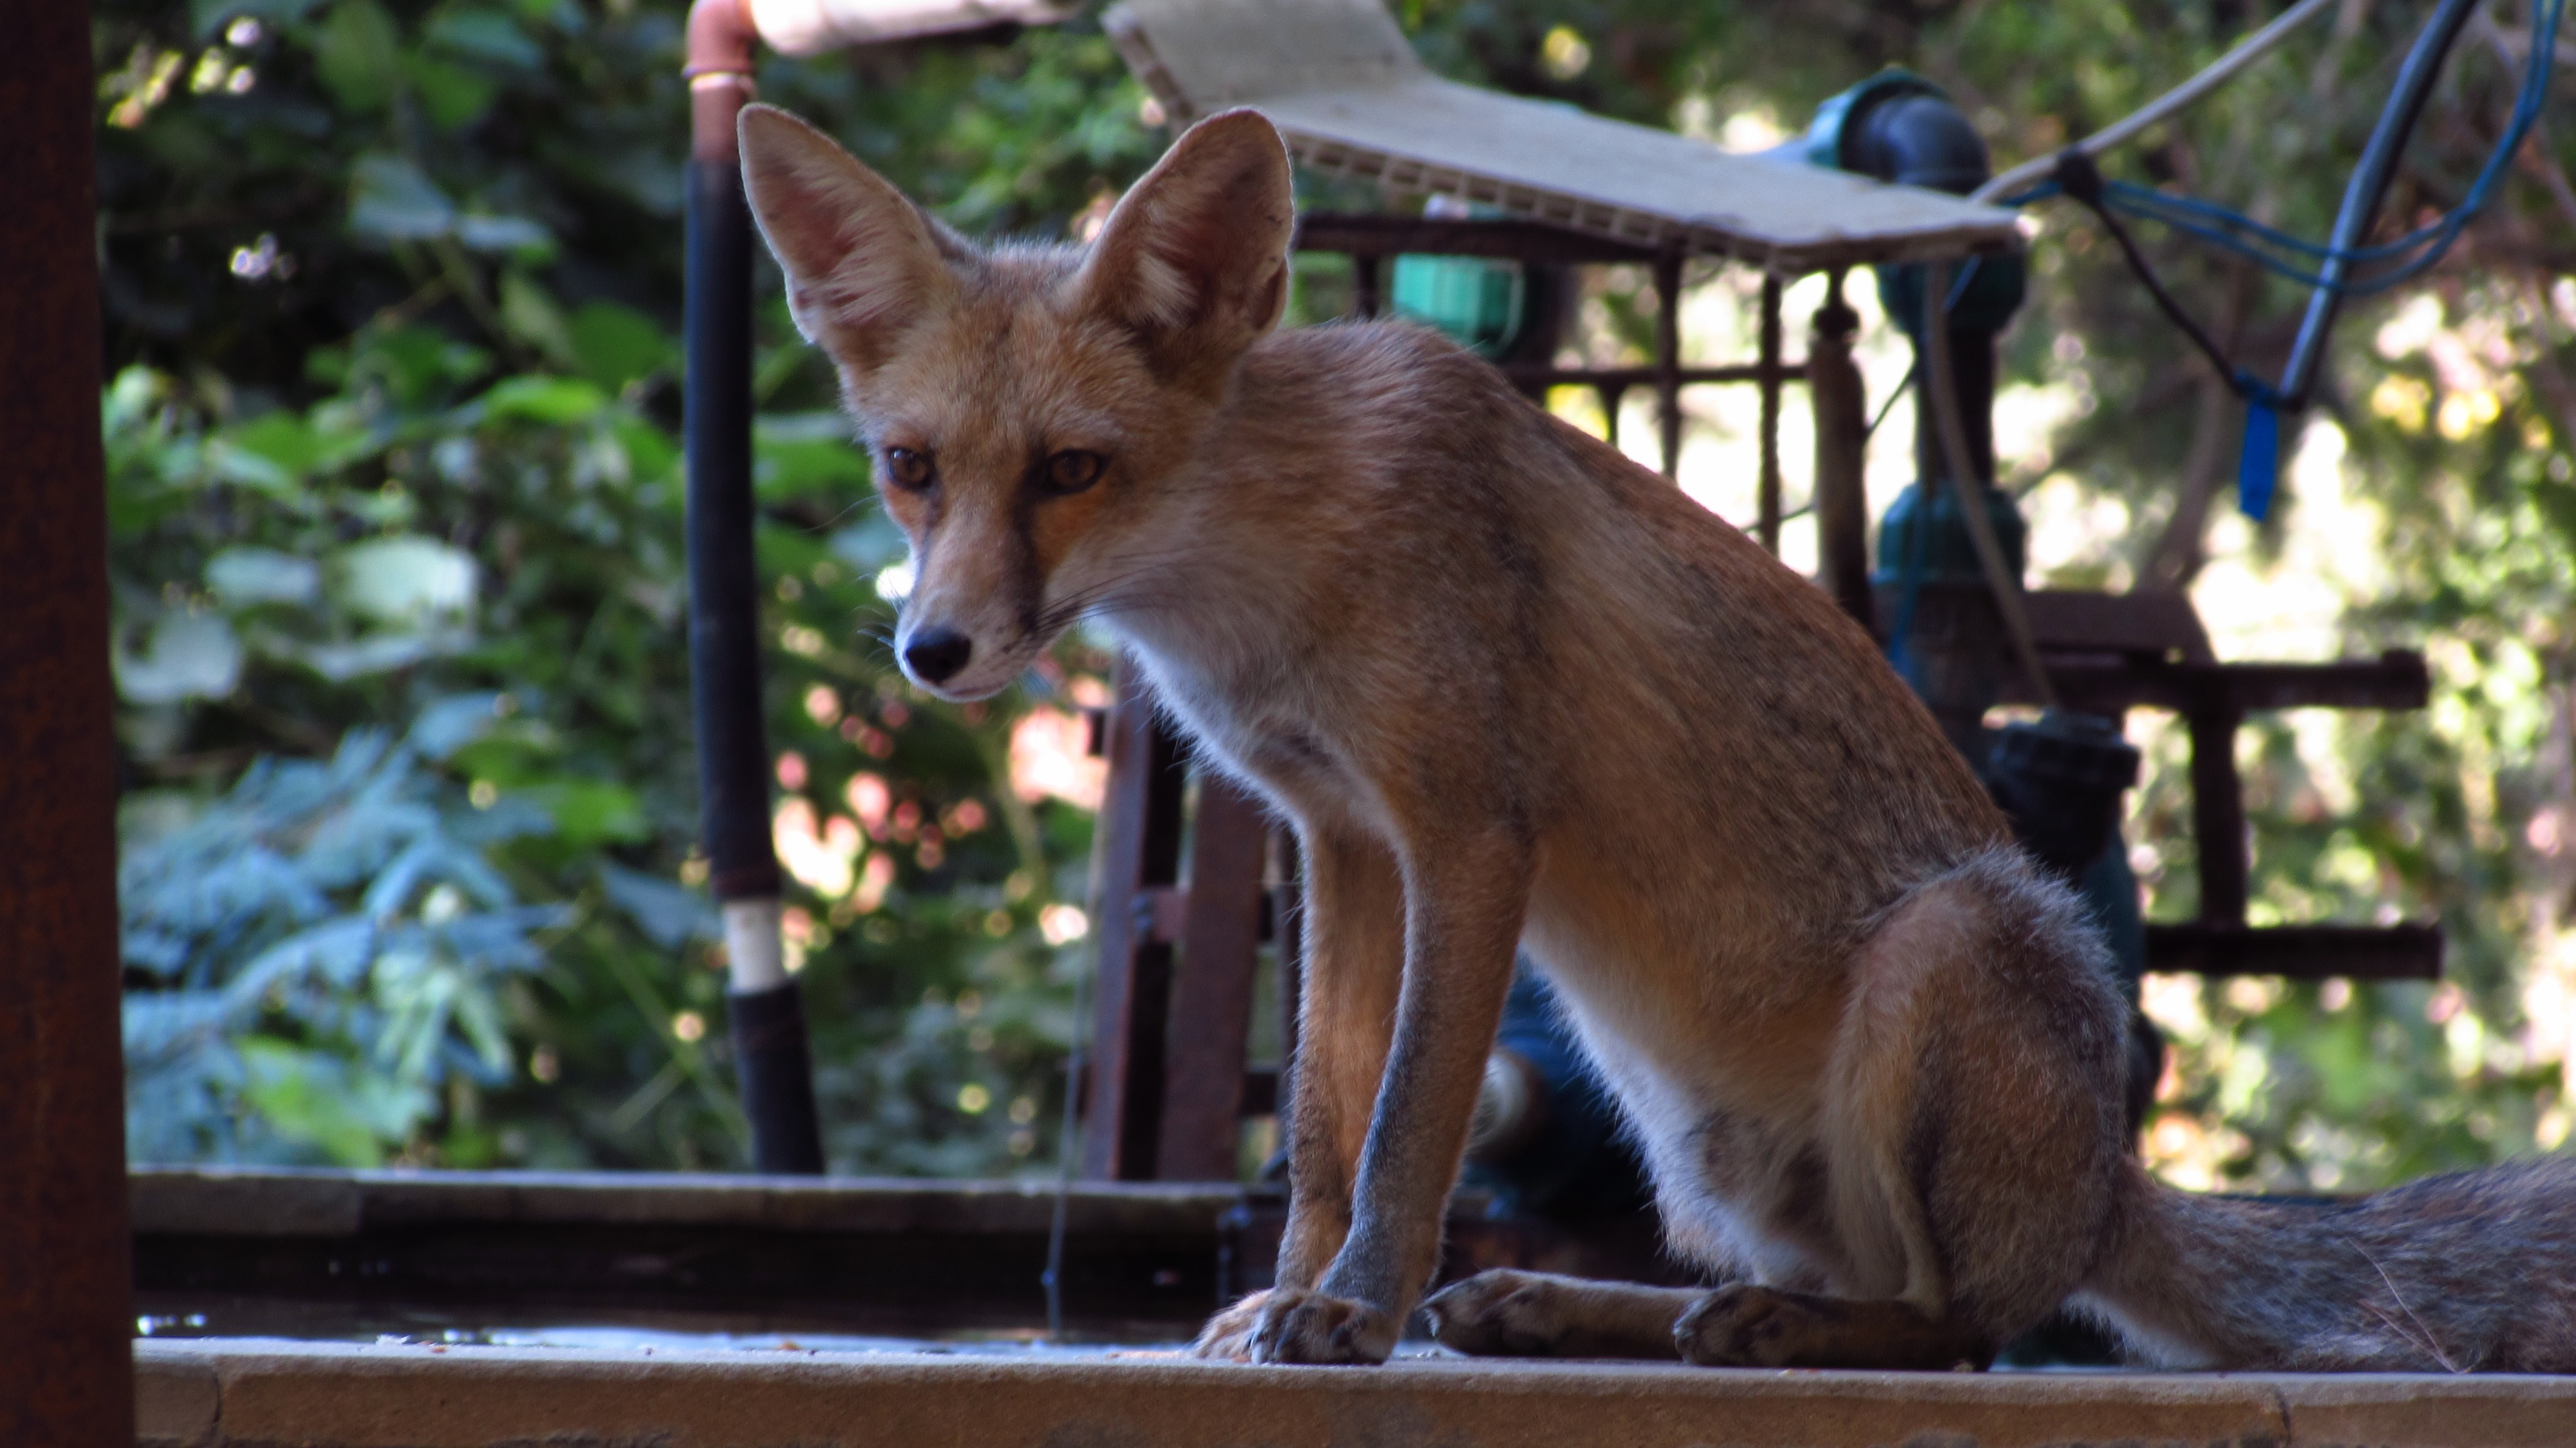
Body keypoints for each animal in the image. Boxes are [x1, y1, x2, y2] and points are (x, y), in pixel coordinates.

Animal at [734, 101, 2576, 1372]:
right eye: (911, 469)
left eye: (1071, 470)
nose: (932, 649)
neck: (1275, 574)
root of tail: (2108, 1180)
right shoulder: (1341, 840)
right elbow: (1320, 1134)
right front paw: (1291, 1302)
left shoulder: (1468, 828)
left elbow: (1406, 1125)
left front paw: (1350, 1317)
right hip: (1687, 1146)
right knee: (1795, 1281)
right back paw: (1556, 1306)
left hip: (1942, 954)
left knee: (1955, 1327)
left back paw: (1775, 1337)